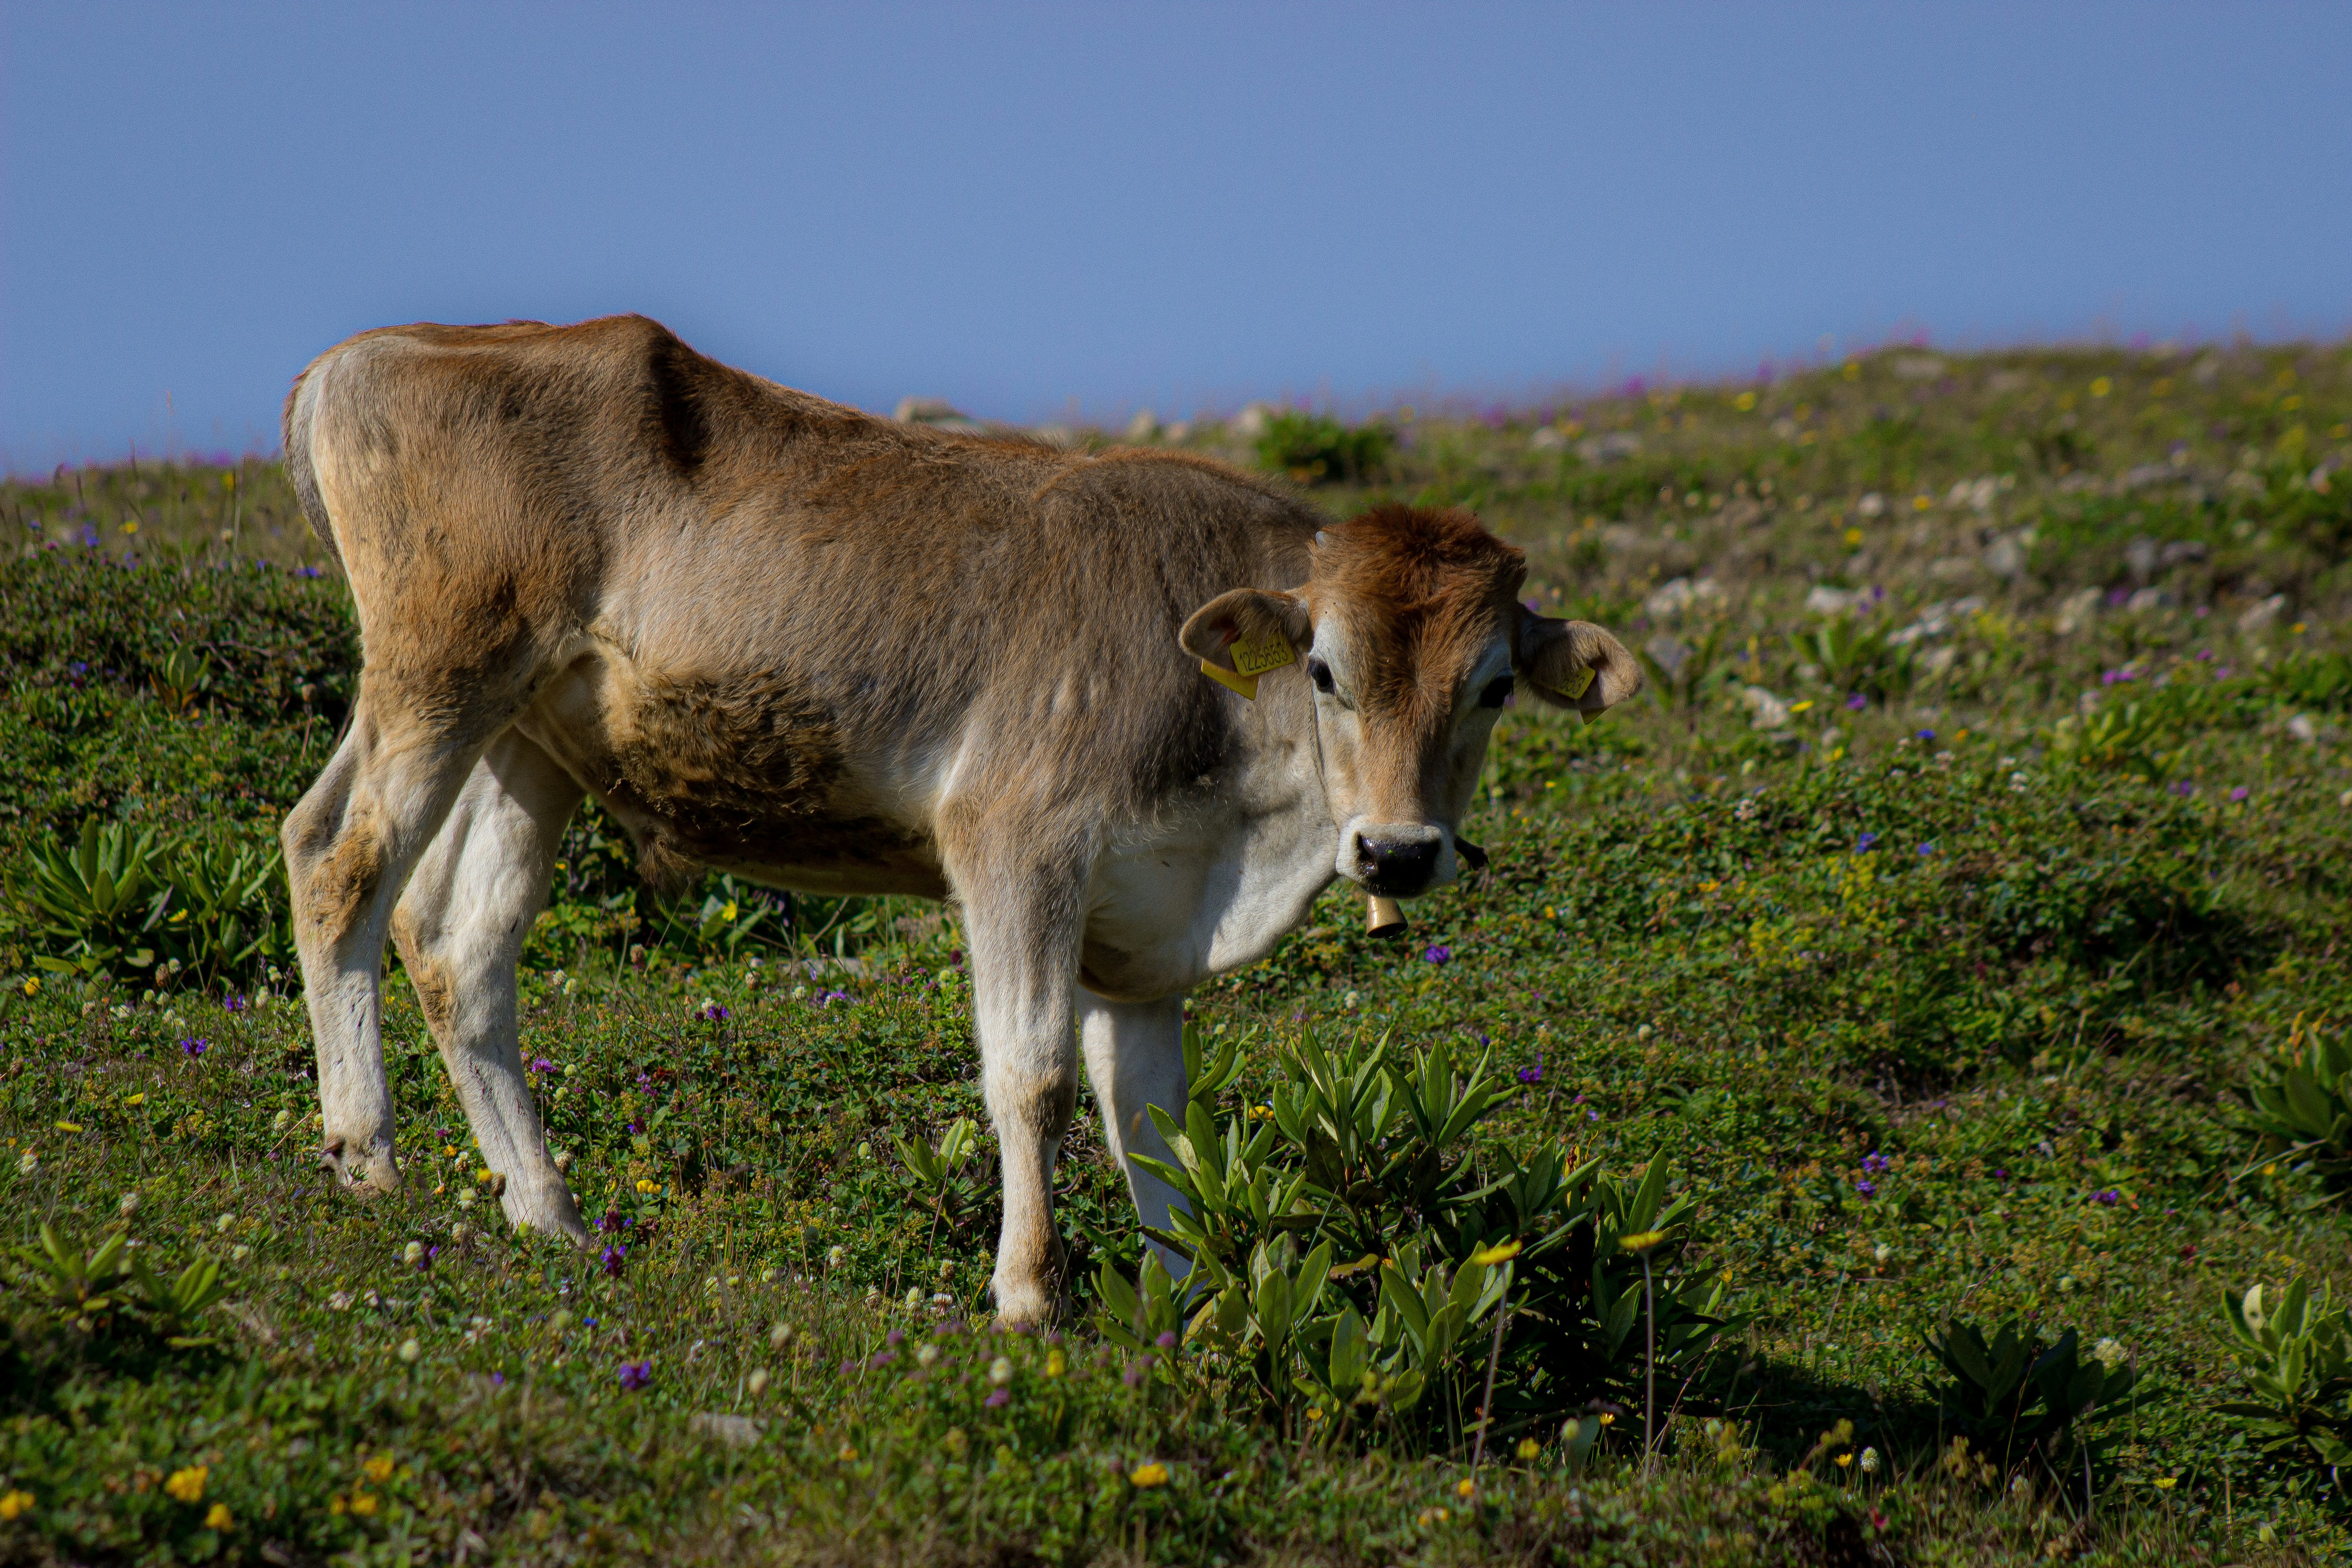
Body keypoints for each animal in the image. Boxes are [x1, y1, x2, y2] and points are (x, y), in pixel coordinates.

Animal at [277, 315, 1641, 1323]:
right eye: (1324, 671)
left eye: (1495, 687)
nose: (1397, 851)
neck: (1244, 843)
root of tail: (368, 350)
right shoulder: (1015, 840)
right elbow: (1030, 1077)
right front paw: (1032, 1296)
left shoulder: (1145, 934)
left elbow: (1153, 1124)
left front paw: (1184, 1312)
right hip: (445, 662)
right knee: (339, 857)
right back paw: (365, 1154)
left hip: (531, 737)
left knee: (456, 940)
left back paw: (548, 1212)